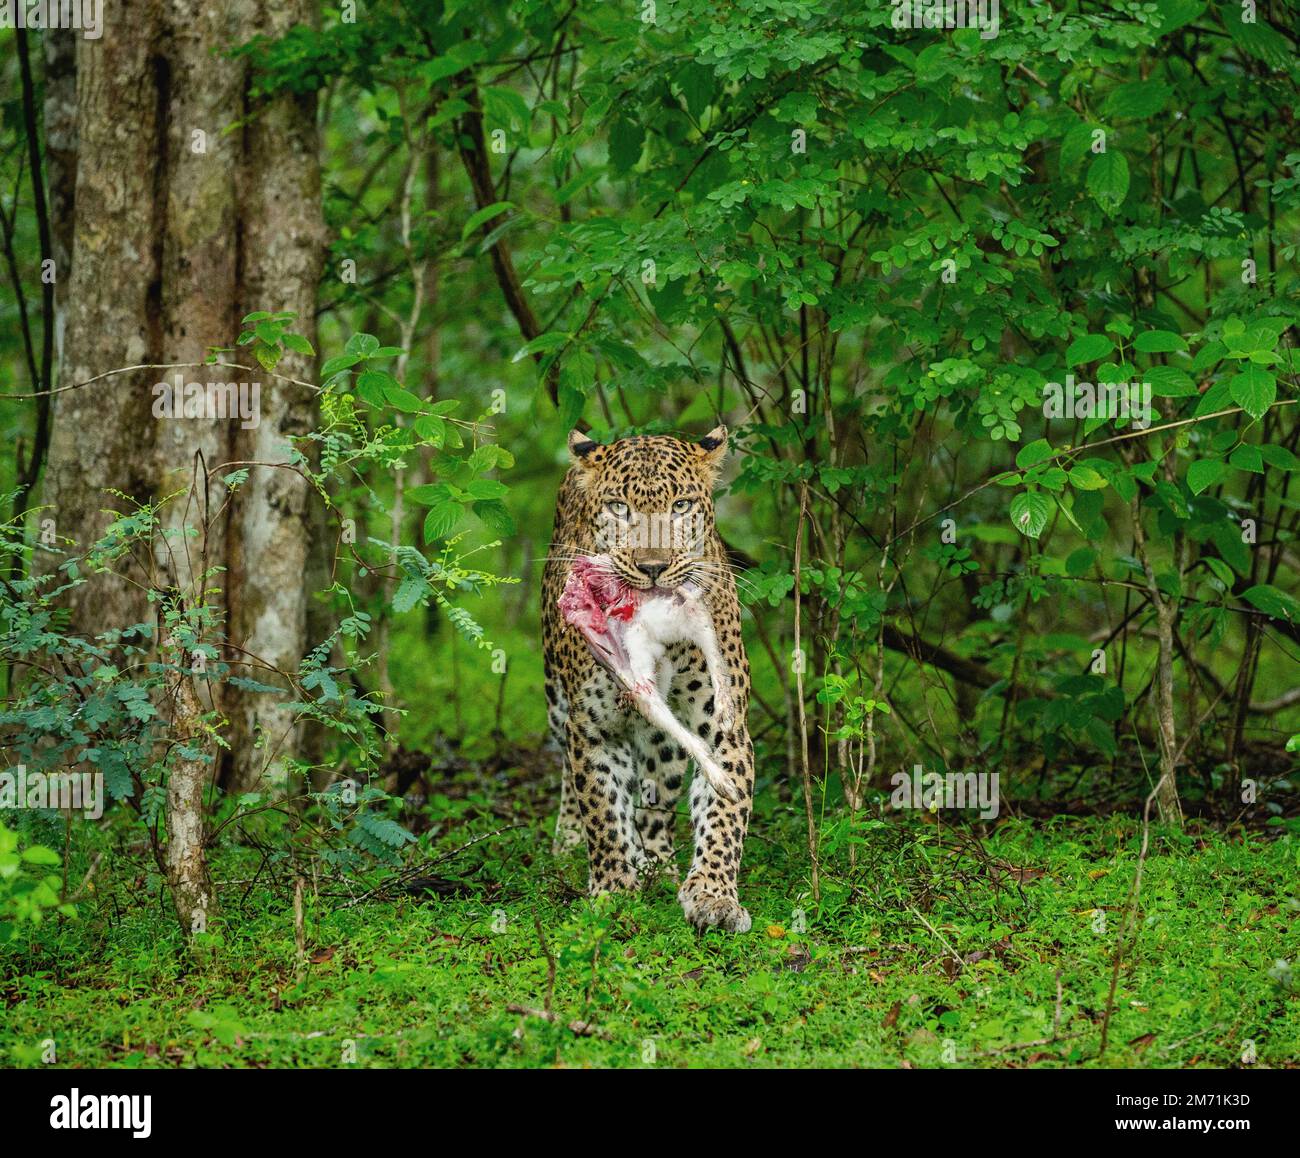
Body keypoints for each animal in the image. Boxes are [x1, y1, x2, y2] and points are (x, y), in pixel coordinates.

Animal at [541, 424, 754, 933]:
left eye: (681, 505)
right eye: (620, 507)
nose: (653, 566)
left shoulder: (723, 726)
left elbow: (723, 813)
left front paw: (713, 895)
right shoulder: (593, 727)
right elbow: (602, 808)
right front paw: (614, 890)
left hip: (666, 745)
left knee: (656, 803)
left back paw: (658, 864)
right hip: (557, 702)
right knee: (569, 772)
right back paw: (573, 841)